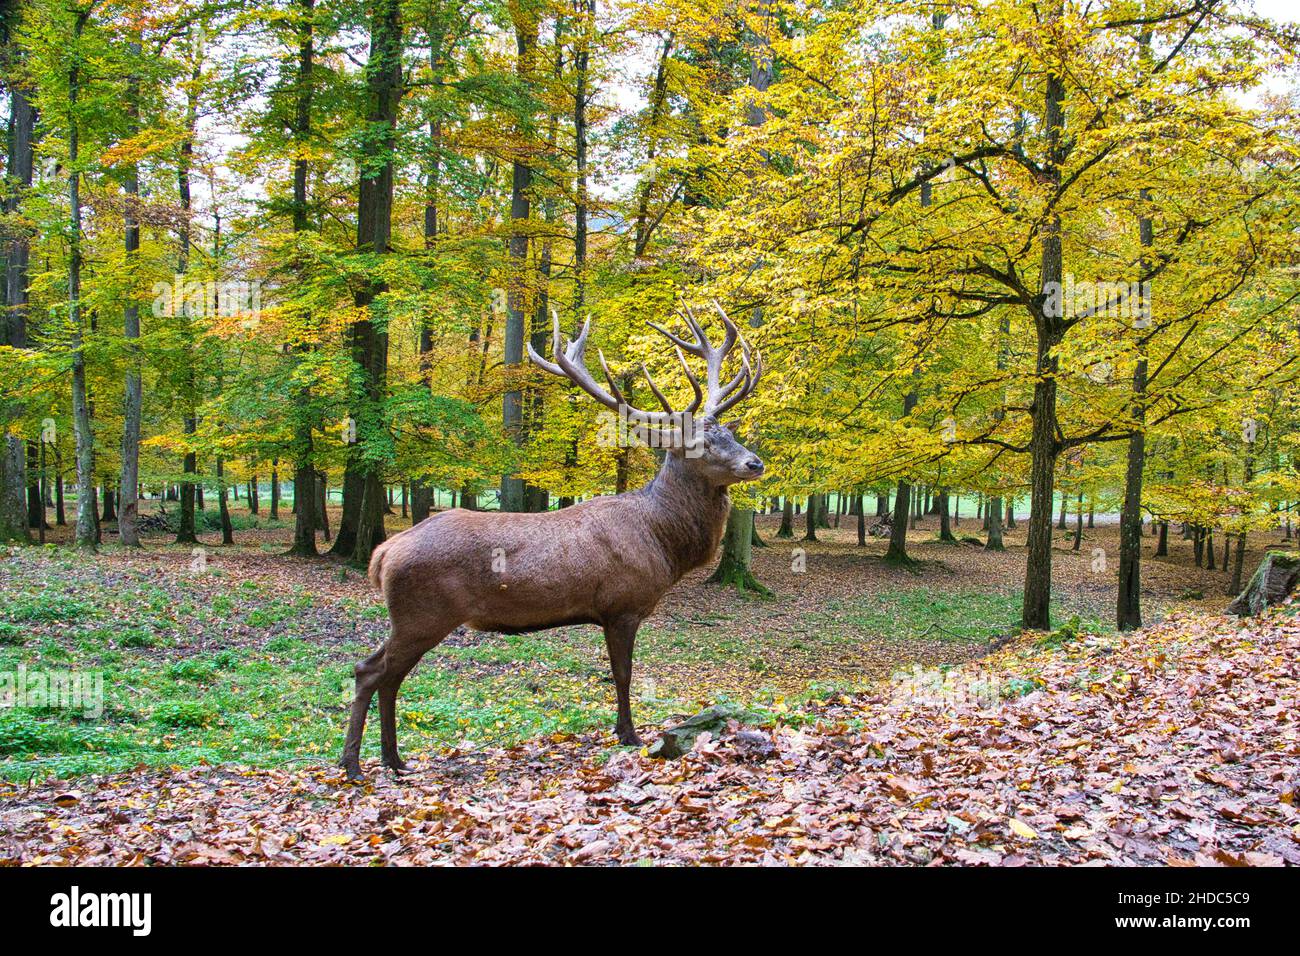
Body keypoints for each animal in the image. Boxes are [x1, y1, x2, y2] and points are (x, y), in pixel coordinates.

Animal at [339, 301, 764, 780]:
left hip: (412, 617)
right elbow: (623, 674)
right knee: (371, 670)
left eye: (730, 434)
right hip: (421, 614)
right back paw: (354, 764)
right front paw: (630, 735)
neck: (663, 543)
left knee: (382, 673)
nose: (754, 463)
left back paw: (393, 759)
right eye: (698, 444)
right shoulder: (621, 605)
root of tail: (382, 553)